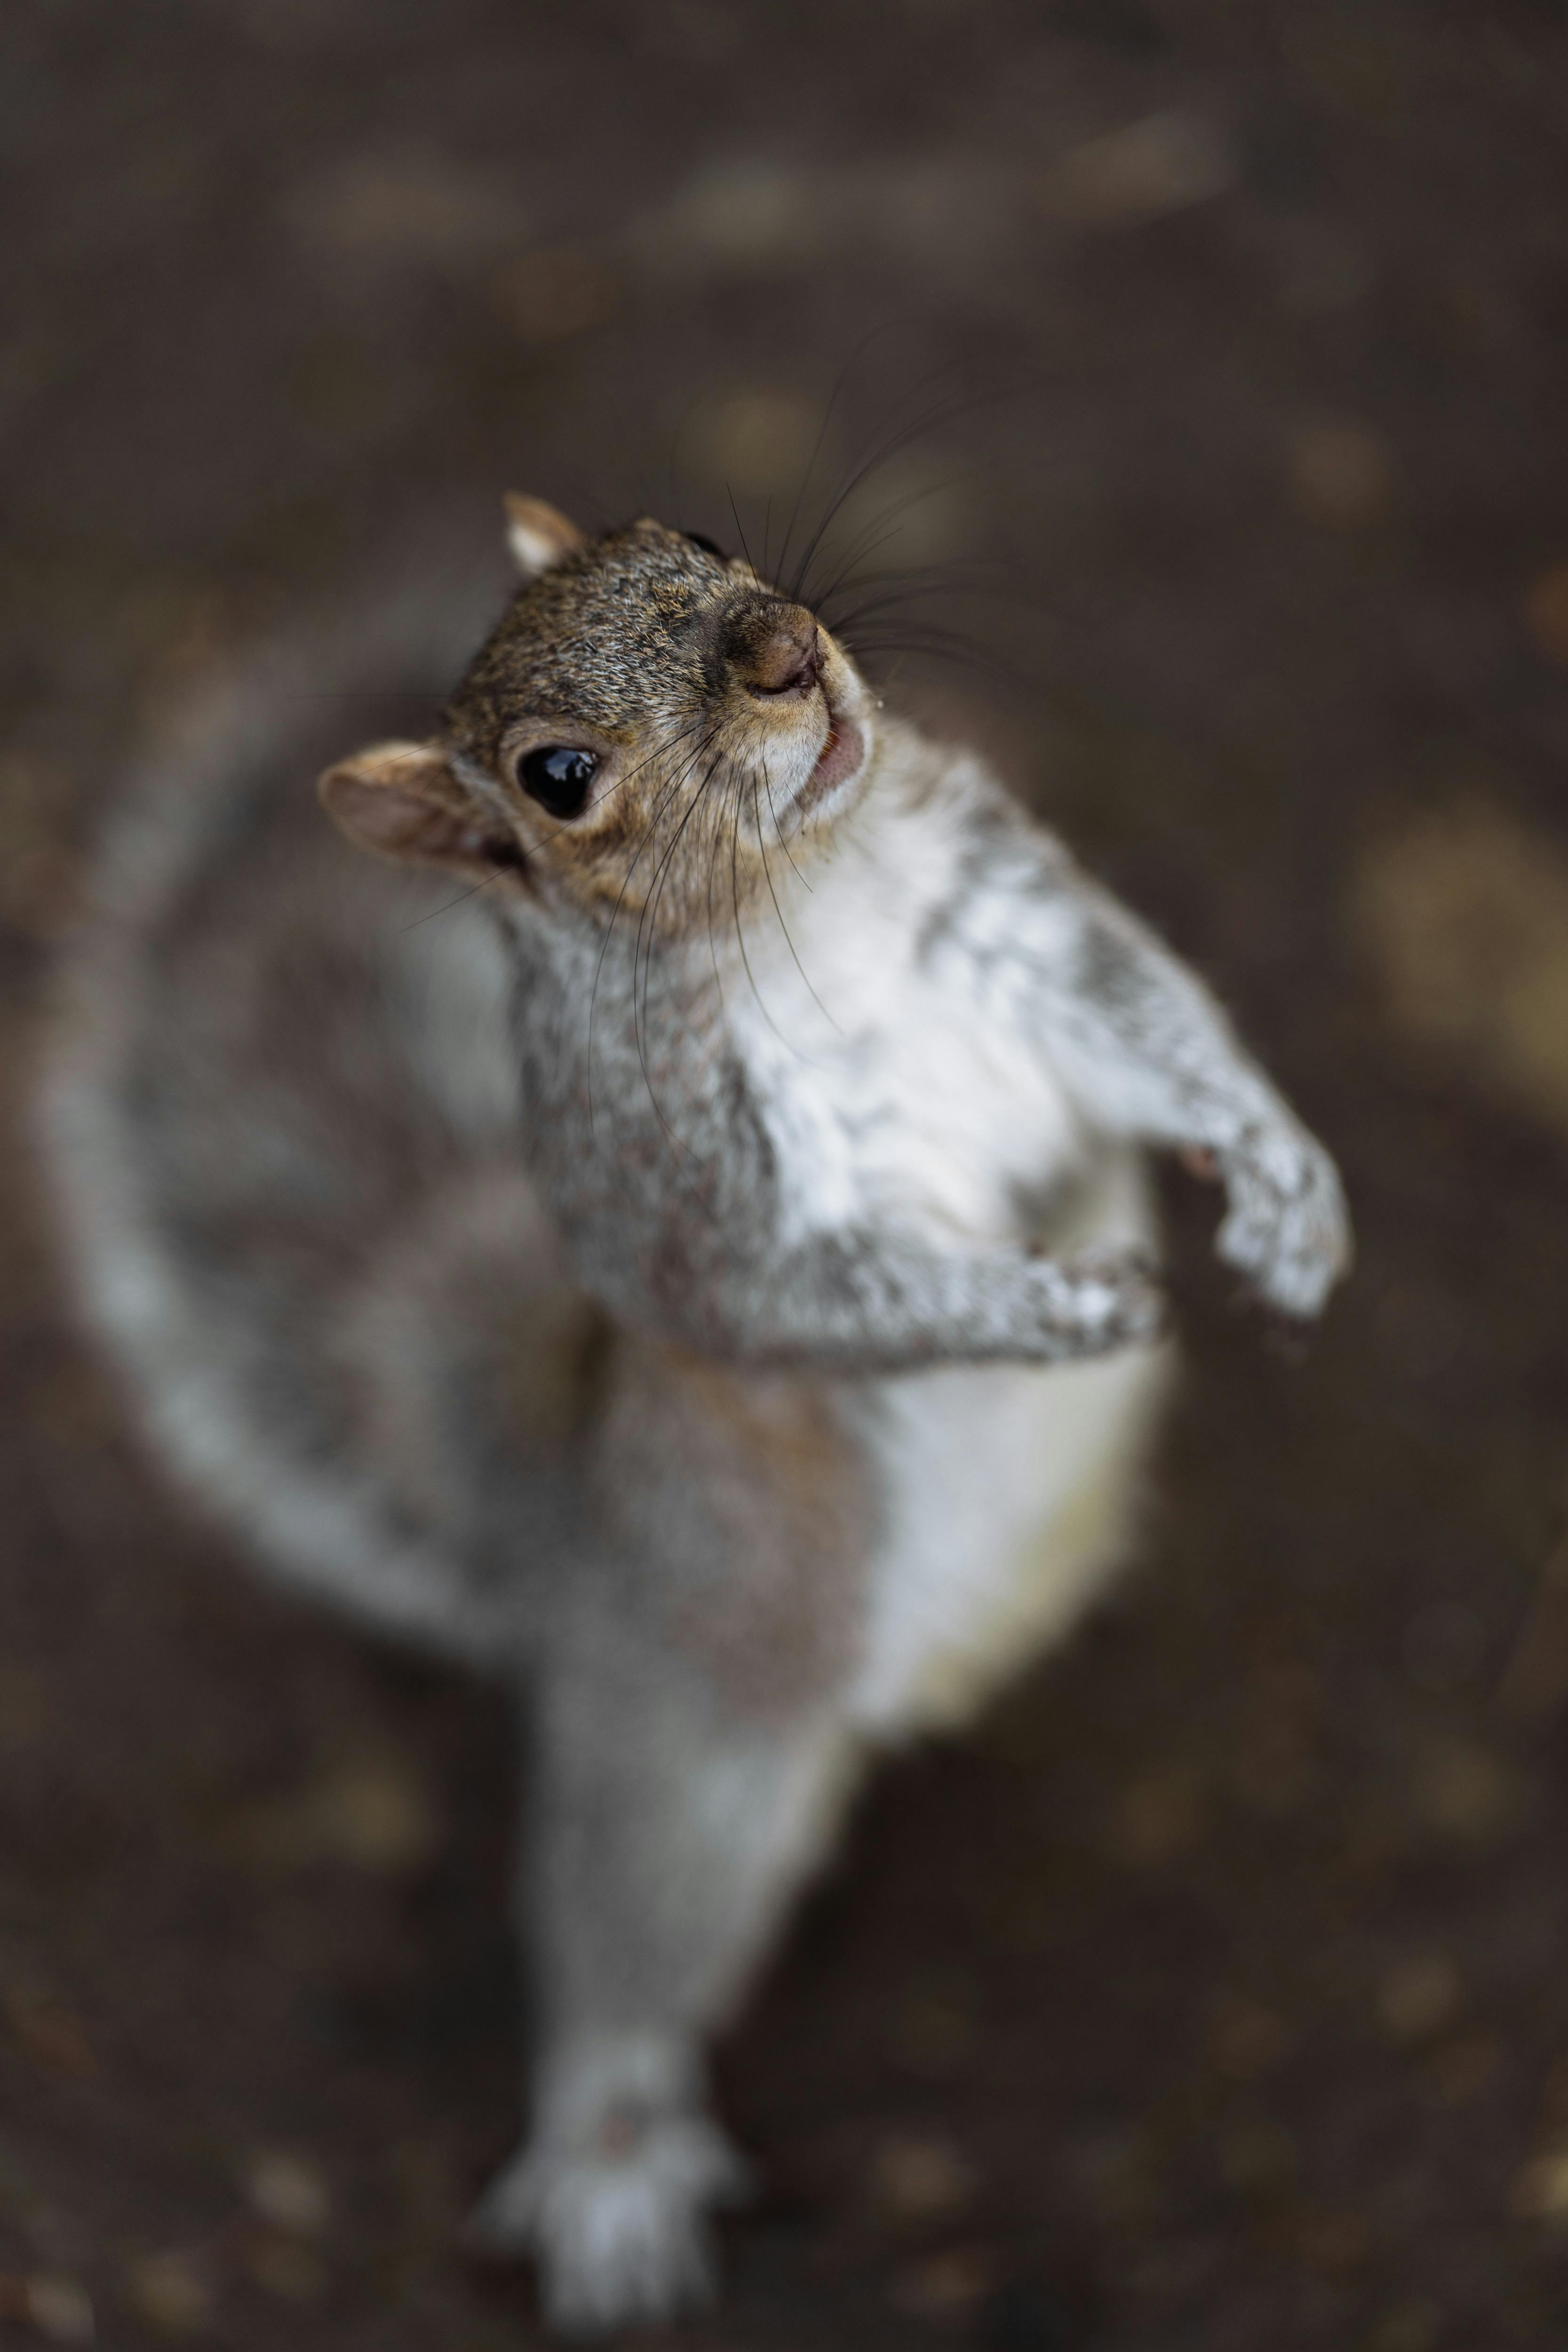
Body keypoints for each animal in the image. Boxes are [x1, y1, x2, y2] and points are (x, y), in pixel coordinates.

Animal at [40, 495, 1350, 2335]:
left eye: (693, 536)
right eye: (556, 777)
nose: (784, 652)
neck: (816, 900)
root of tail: (566, 1502)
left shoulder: (1025, 921)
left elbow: (1155, 1021)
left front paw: (1285, 1183)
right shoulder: (683, 1197)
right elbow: (813, 1302)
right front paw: (1050, 1309)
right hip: (691, 1730)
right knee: (627, 1943)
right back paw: (610, 2161)